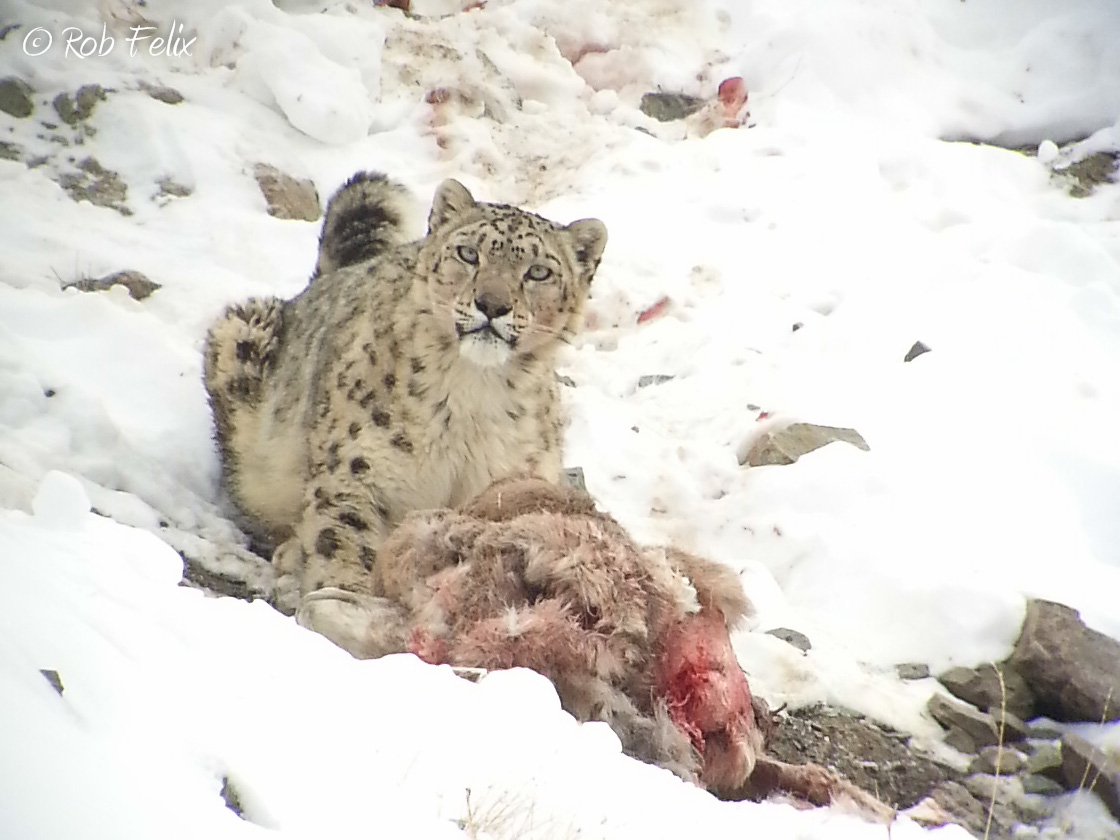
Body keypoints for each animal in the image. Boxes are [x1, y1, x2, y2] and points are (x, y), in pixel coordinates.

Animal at [202, 171, 608, 653]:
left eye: (539, 272)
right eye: (468, 253)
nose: (492, 304)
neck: (472, 395)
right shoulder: (355, 468)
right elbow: (345, 539)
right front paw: (347, 601)